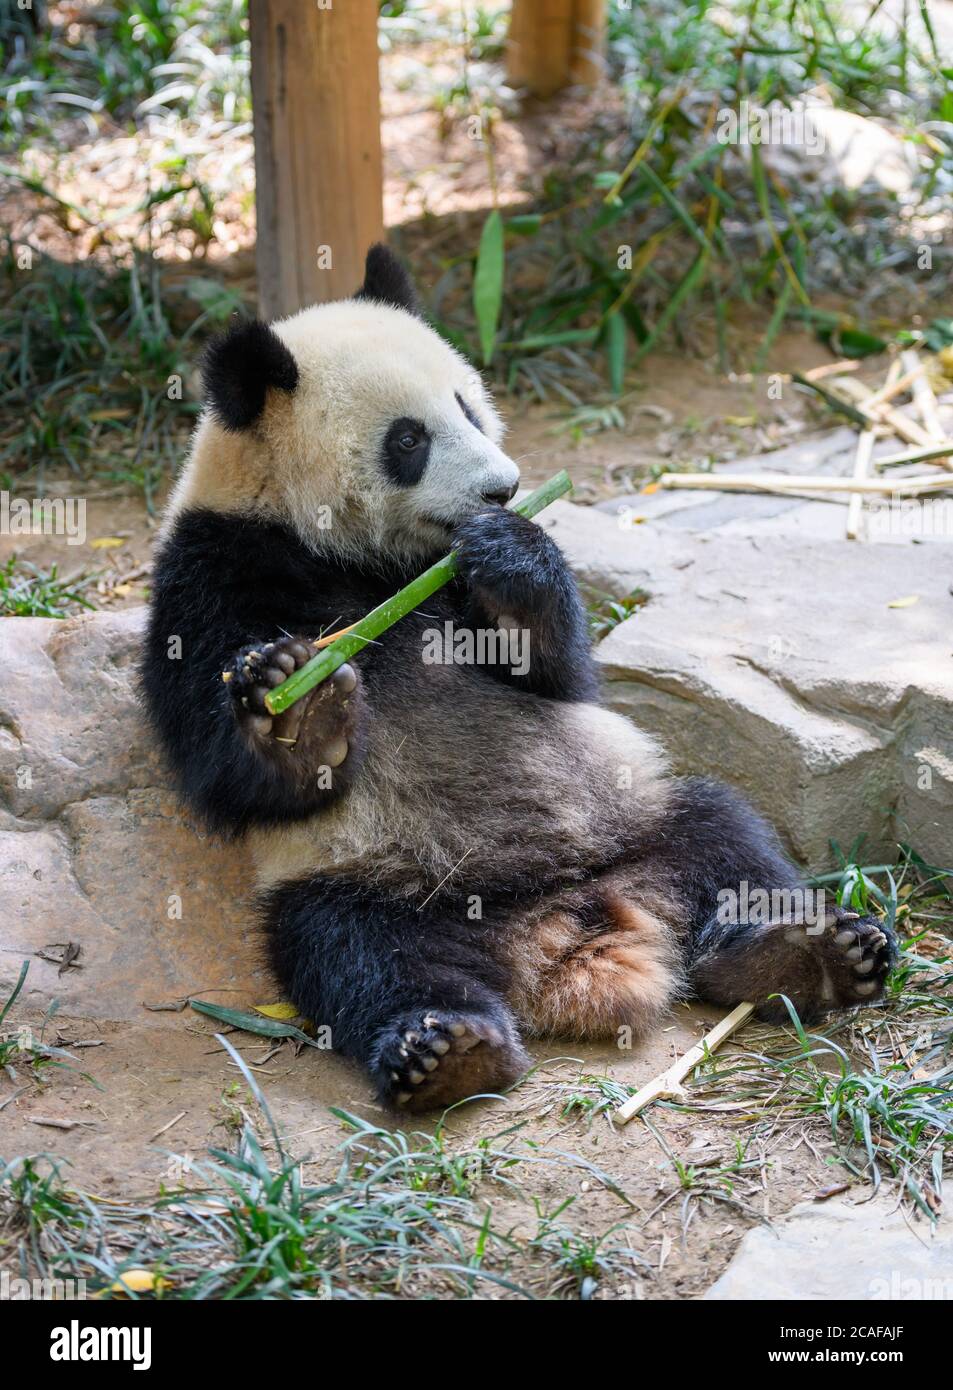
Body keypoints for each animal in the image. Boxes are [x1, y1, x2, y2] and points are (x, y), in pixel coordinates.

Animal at [141, 244, 897, 1113]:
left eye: (469, 407)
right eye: (407, 439)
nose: (500, 488)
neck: (355, 555)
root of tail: (564, 929)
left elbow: (564, 679)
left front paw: (513, 550)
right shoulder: (212, 565)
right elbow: (223, 769)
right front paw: (305, 712)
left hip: (633, 811)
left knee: (725, 837)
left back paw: (803, 951)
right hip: (365, 880)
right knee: (356, 954)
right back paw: (446, 1047)